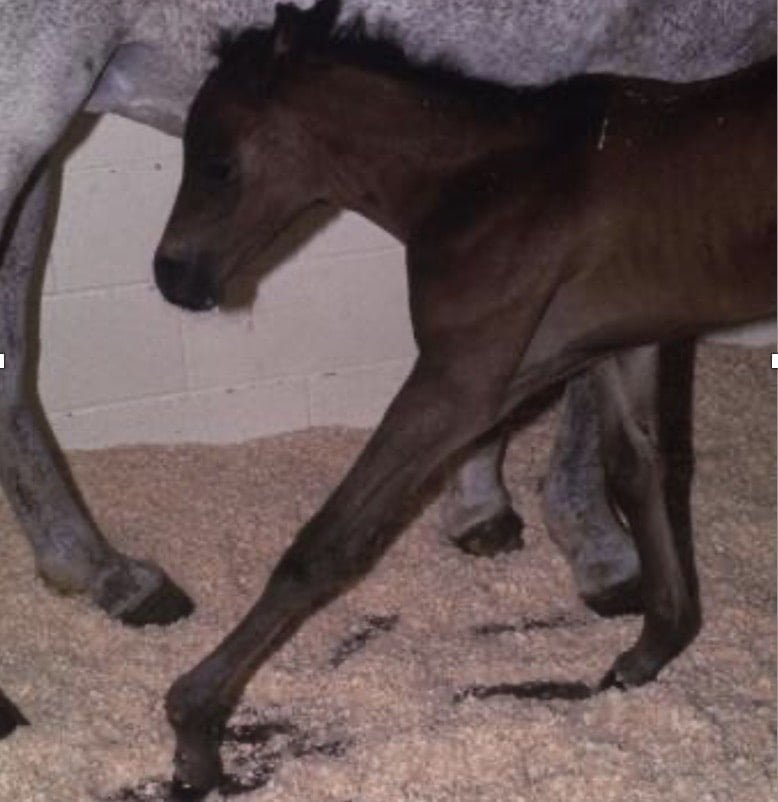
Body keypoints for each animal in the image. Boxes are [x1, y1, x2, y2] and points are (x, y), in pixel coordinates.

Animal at [0, 0, 774, 738]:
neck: (486, 177)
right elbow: (634, 465)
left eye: (219, 163)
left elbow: (331, 542)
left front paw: (194, 720)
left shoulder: (485, 371)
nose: (173, 275)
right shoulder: (548, 356)